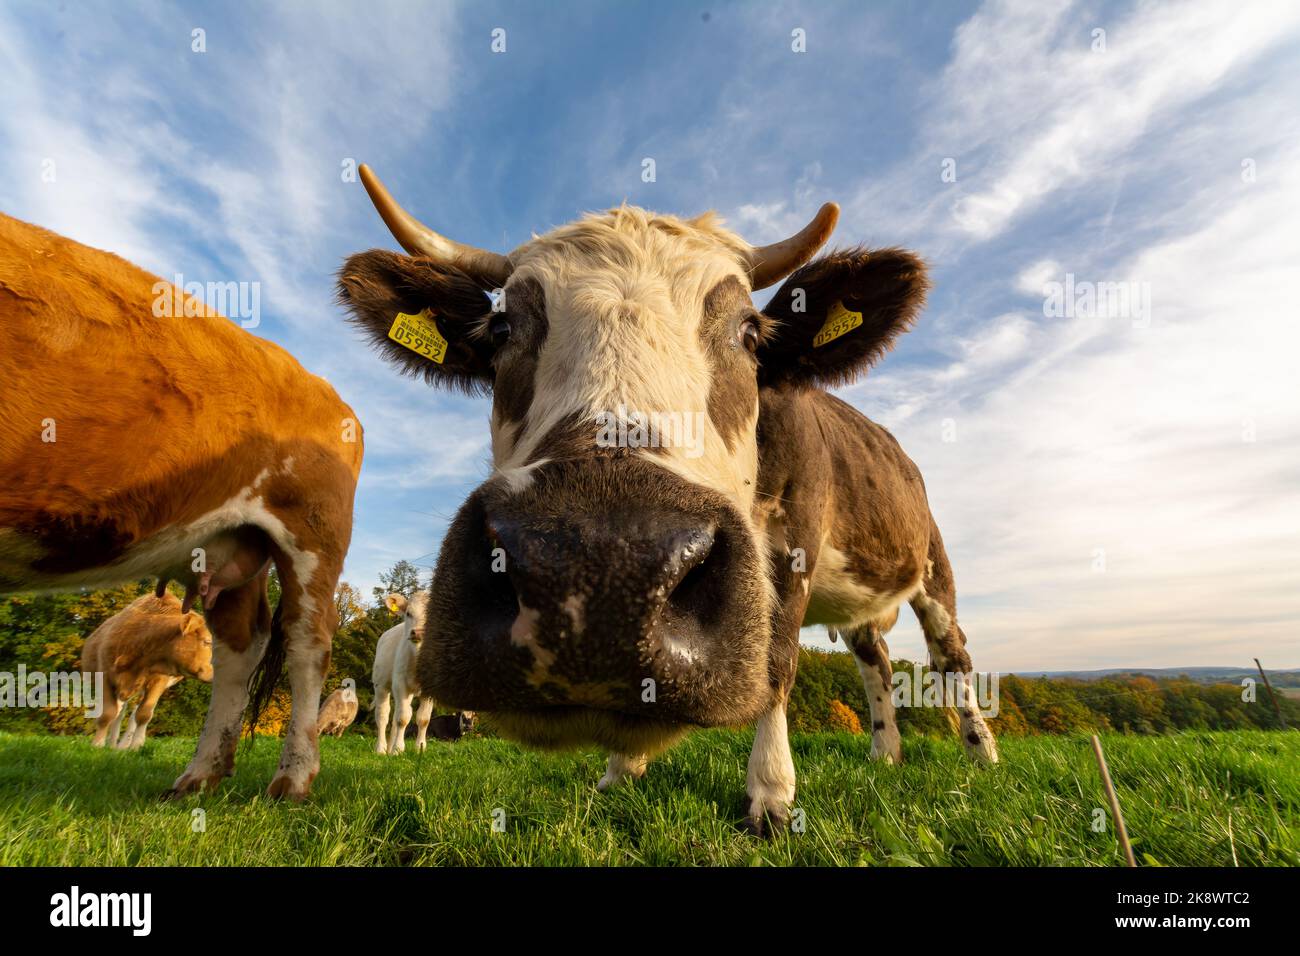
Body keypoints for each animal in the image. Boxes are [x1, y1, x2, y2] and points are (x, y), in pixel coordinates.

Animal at [81, 592, 215, 749]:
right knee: (119, 712)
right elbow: (107, 713)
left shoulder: (159, 680)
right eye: (207, 641)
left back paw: (122, 746)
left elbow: (144, 714)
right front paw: (98, 744)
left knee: (132, 714)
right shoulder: (104, 675)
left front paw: (136, 746)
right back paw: (113, 744)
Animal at [371, 590, 436, 754]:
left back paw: (389, 748)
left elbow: (423, 719)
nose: (418, 632)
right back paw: (381, 749)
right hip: (380, 685)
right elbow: (403, 718)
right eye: (408, 613)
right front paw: (398, 749)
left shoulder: (430, 689)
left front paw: (420, 748)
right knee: (383, 715)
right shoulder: (400, 683)